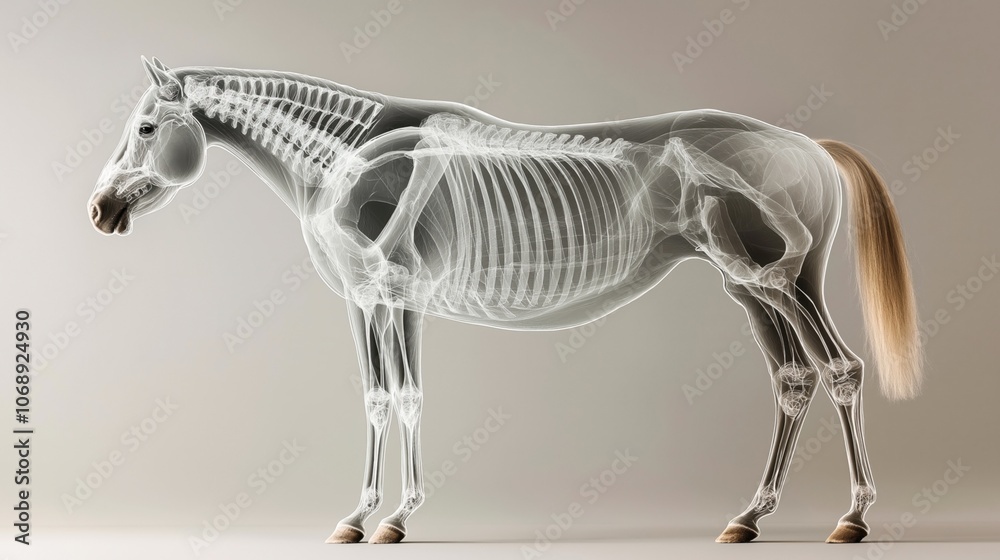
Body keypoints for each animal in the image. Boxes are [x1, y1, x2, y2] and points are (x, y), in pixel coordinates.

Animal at [90, 57, 922, 544]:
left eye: (146, 126)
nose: (99, 211)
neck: (347, 162)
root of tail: (811, 147)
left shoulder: (394, 289)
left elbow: (402, 395)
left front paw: (391, 518)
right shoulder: (370, 297)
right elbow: (381, 397)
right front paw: (365, 516)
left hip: (776, 275)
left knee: (840, 368)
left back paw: (851, 518)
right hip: (751, 284)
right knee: (793, 377)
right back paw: (747, 517)